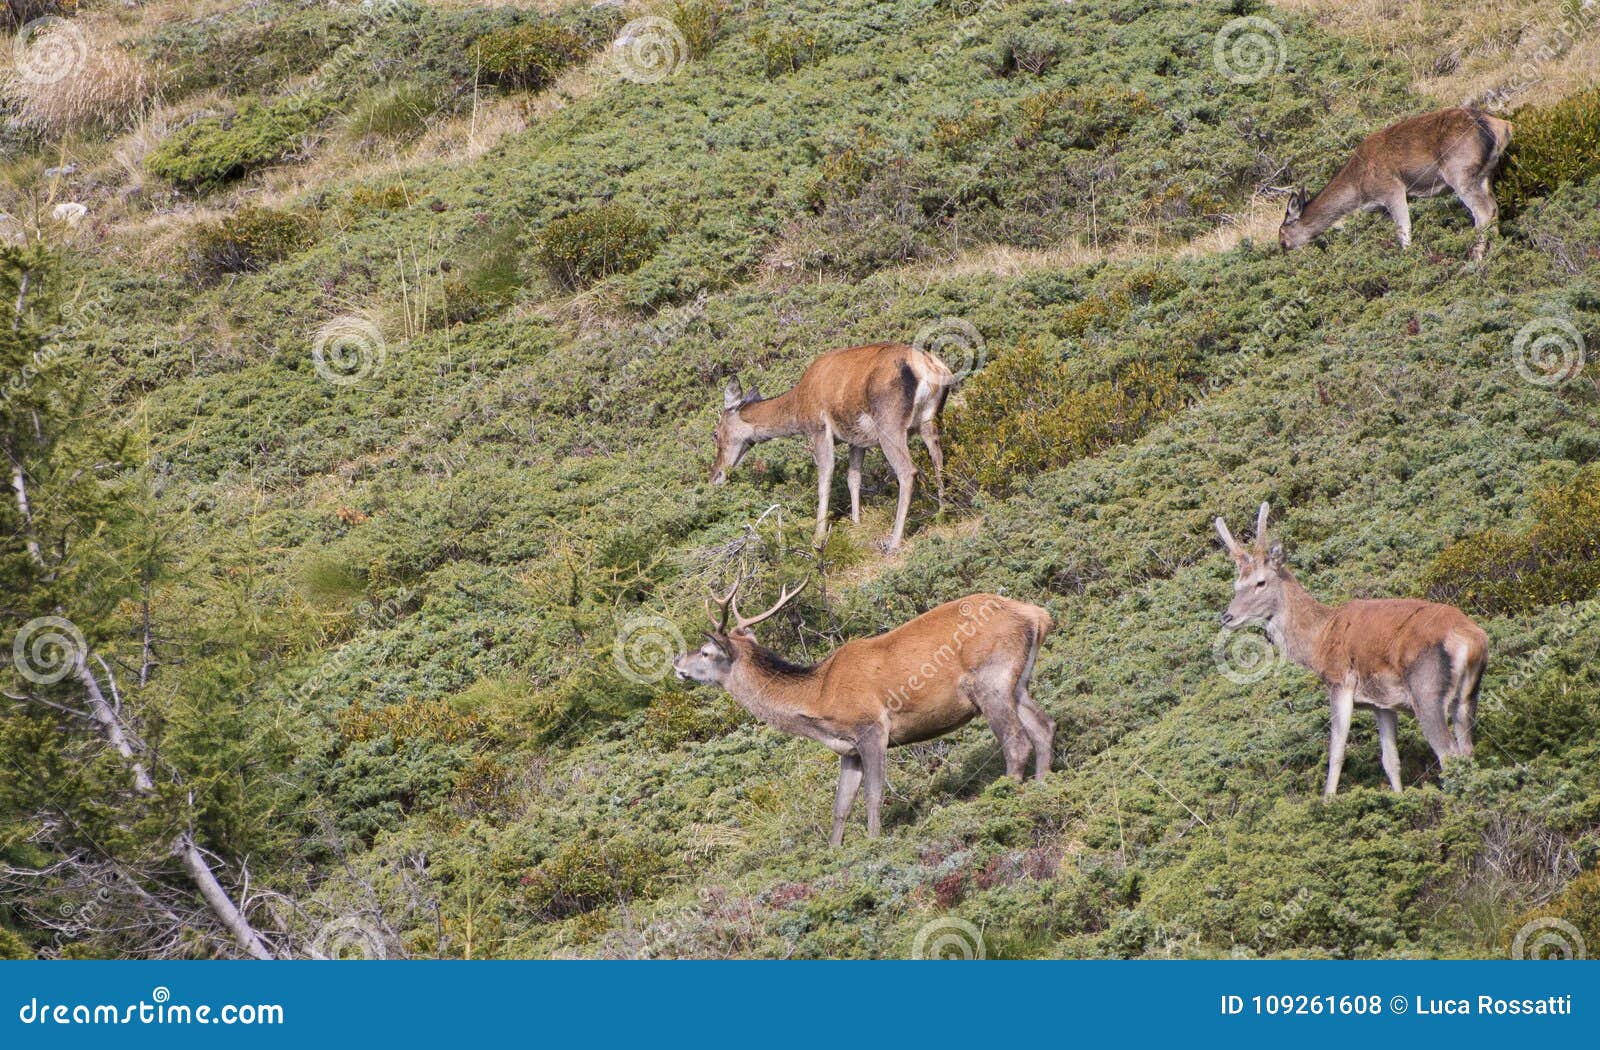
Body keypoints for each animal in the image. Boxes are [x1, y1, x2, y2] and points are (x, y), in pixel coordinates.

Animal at [672, 577, 1055, 845]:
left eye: (705, 651)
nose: (677, 661)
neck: (818, 699)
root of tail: (1037, 615)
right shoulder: (848, 750)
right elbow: (840, 807)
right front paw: (834, 853)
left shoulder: (871, 728)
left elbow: (873, 795)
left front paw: (873, 842)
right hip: (1017, 683)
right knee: (1044, 726)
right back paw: (1042, 788)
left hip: (990, 678)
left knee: (1016, 741)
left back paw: (1002, 800)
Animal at [709, 342, 954, 554]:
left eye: (716, 433)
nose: (716, 476)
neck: (797, 407)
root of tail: (933, 368)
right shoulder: (857, 438)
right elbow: (853, 478)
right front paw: (856, 524)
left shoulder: (819, 429)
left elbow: (825, 476)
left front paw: (818, 537)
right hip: (930, 420)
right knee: (939, 459)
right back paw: (943, 513)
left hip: (889, 424)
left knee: (907, 470)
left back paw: (894, 542)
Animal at [1215, 503, 1489, 798]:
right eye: (1236, 585)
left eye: (1261, 582)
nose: (1227, 617)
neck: (1320, 640)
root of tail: (1472, 640)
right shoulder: (1382, 703)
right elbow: (1390, 760)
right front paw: (1398, 798)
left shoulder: (1340, 682)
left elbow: (1336, 753)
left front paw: (1328, 800)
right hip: (1467, 696)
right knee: (1467, 750)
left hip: (1427, 691)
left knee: (1449, 754)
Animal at [1279, 107, 1513, 262]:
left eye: (1282, 234)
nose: (1283, 250)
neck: (1359, 190)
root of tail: (1500, 126)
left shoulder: (1391, 189)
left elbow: (1404, 230)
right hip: (1485, 174)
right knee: (1494, 208)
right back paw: (1497, 249)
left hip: (1459, 172)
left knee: (1483, 211)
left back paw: (1476, 259)